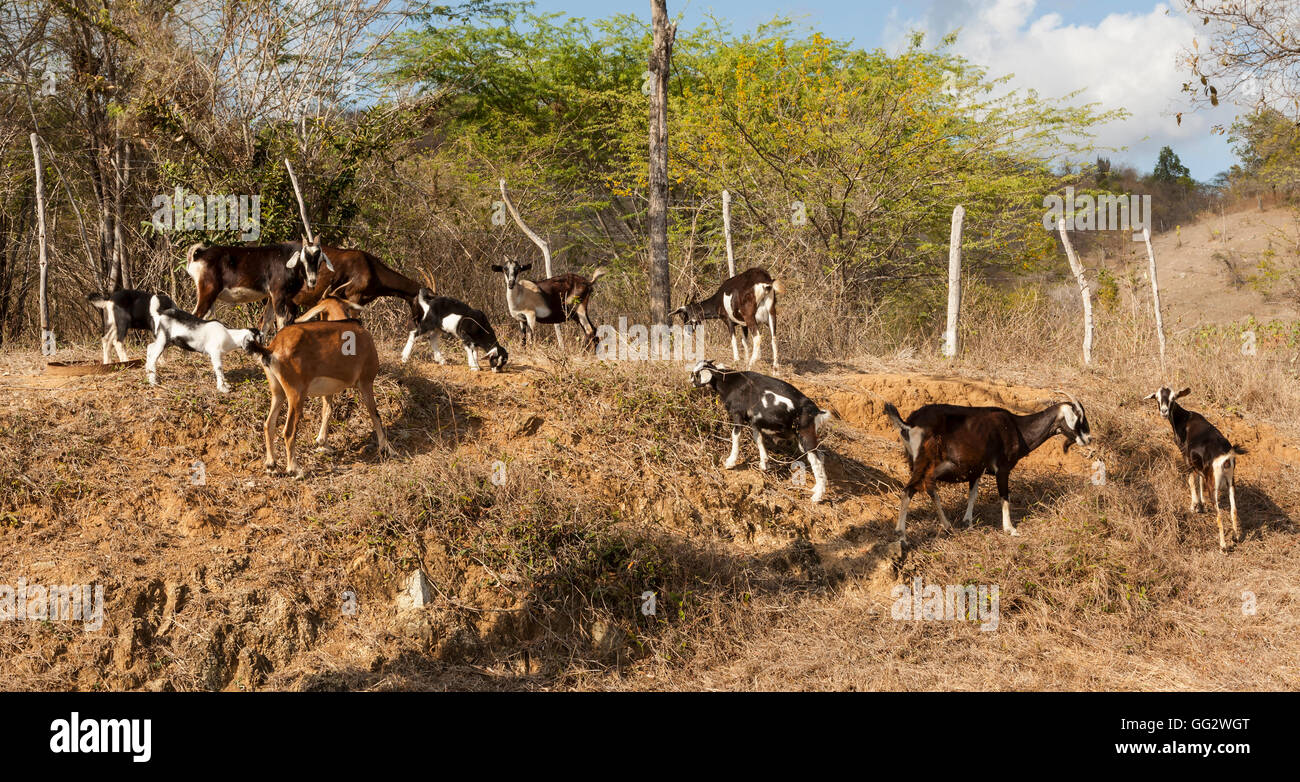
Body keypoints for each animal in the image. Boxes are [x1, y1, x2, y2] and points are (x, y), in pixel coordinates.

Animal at [187, 236, 332, 331]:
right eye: (303, 257)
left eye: (320, 259)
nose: (312, 281)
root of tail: (199, 255)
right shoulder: (278, 295)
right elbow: (281, 324)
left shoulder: (271, 297)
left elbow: (265, 323)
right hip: (207, 293)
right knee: (195, 316)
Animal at [242, 320, 393, 477]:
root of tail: (272, 349)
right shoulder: (366, 382)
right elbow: (375, 414)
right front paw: (386, 448)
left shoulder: (328, 391)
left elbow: (327, 412)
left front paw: (323, 444)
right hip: (296, 395)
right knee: (288, 430)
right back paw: (295, 469)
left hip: (278, 393)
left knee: (269, 424)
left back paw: (271, 465)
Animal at [689, 359, 831, 503]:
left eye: (696, 374)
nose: (690, 381)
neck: (730, 382)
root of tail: (816, 411)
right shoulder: (754, 421)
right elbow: (758, 439)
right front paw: (763, 463)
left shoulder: (738, 414)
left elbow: (736, 436)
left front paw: (730, 462)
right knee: (820, 456)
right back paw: (817, 488)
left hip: (805, 434)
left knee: (817, 461)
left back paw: (817, 496)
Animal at [883, 391, 1091, 543]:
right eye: (1079, 418)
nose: (1089, 439)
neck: (1017, 427)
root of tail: (909, 423)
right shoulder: (1003, 468)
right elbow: (1004, 496)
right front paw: (1010, 529)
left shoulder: (976, 469)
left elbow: (973, 494)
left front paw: (967, 521)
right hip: (925, 463)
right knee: (911, 489)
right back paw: (903, 534)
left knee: (928, 487)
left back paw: (946, 526)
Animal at [1143, 386, 1247, 551]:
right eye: (1157, 398)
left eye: (1173, 398)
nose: (1164, 411)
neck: (1185, 419)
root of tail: (1225, 458)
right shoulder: (1200, 466)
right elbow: (1199, 480)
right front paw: (1201, 504)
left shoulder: (1187, 461)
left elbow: (1192, 481)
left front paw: (1194, 506)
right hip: (1231, 482)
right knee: (1234, 510)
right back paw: (1235, 537)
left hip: (1214, 485)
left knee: (1219, 514)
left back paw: (1223, 546)